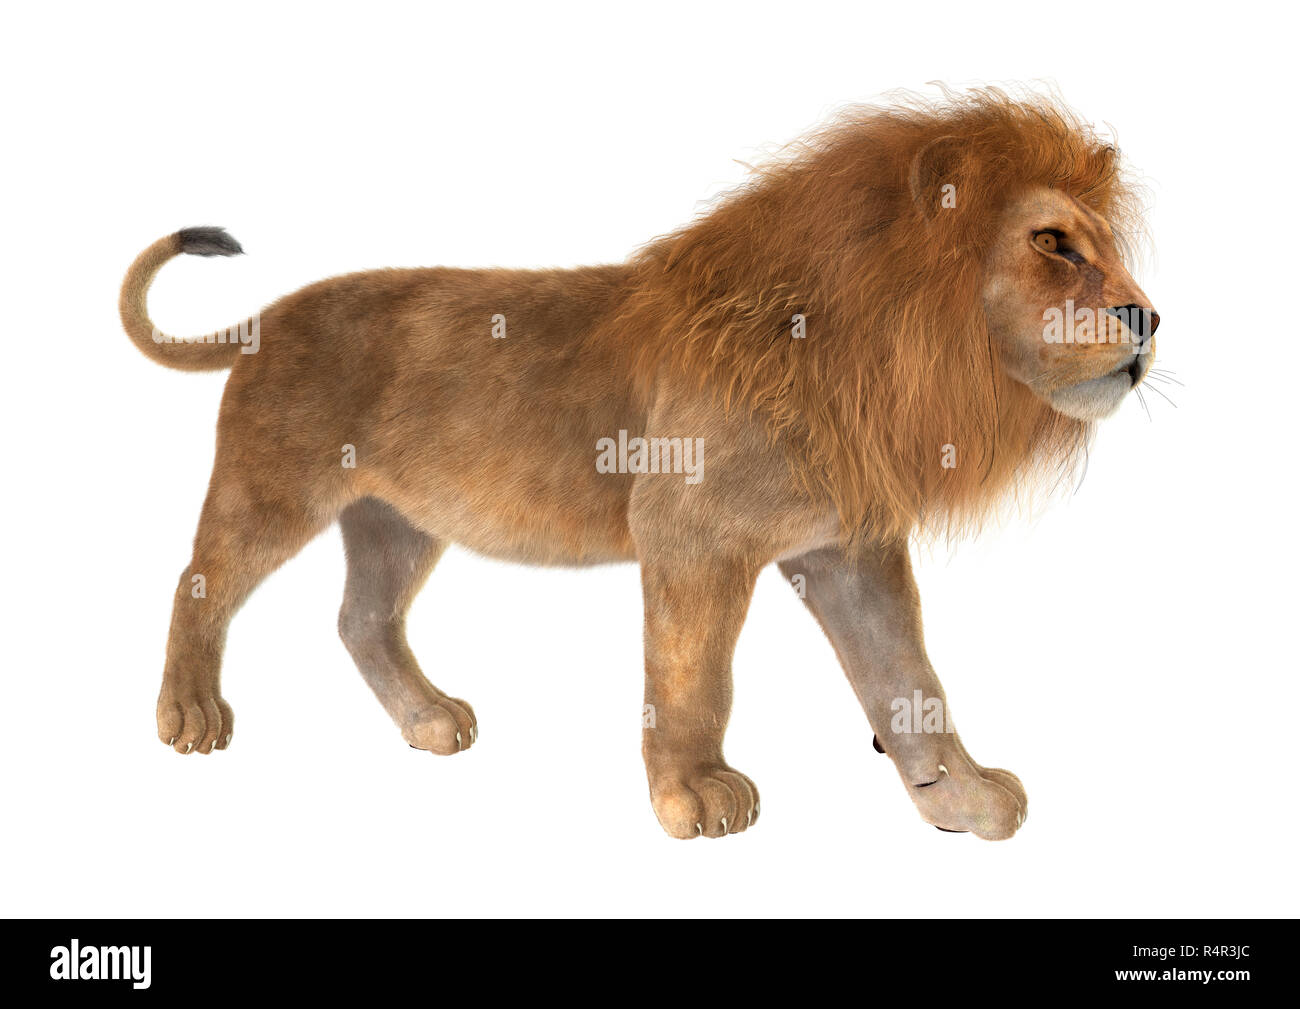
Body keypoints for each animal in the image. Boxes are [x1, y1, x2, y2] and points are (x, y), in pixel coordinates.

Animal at [119, 88, 1158, 840]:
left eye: (1107, 246)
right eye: (1053, 243)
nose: (1149, 317)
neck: (860, 344)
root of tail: (264, 320)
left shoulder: (848, 549)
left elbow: (911, 680)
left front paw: (962, 797)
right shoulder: (692, 536)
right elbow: (694, 679)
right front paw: (695, 795)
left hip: (399, 520)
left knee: (361, 618)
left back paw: (428, 721)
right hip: (273, 488)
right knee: (197, 583)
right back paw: (190, 715)